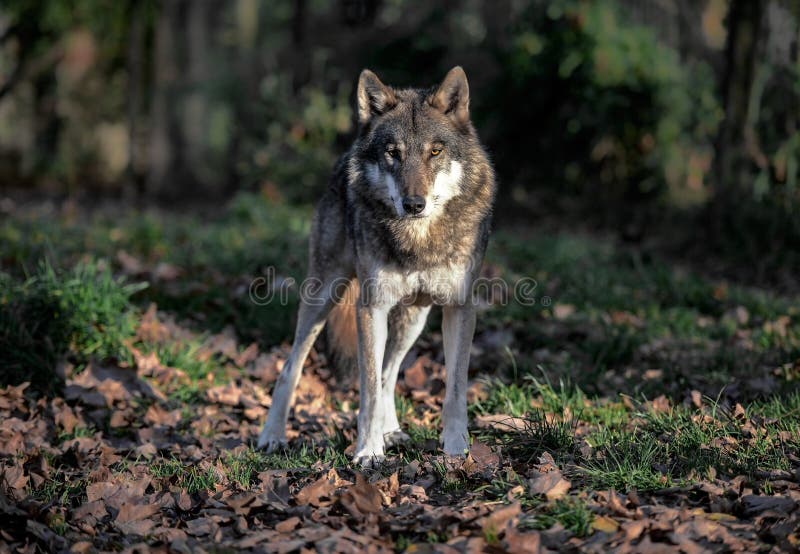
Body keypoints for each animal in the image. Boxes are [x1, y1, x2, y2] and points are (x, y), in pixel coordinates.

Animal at [257, 67, 496, 467]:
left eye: (435, 151)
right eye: (392, 153)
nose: (413, 204)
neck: (419, 239)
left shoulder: (459, 308)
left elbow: (454, 389)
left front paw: (456, 448)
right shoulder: (370, 308)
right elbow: (366, 388)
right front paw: (368, 451)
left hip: (414, 318)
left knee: (389, 371)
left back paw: (391, 431)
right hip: (323, 296)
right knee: (292, 366)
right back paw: (271, 436)